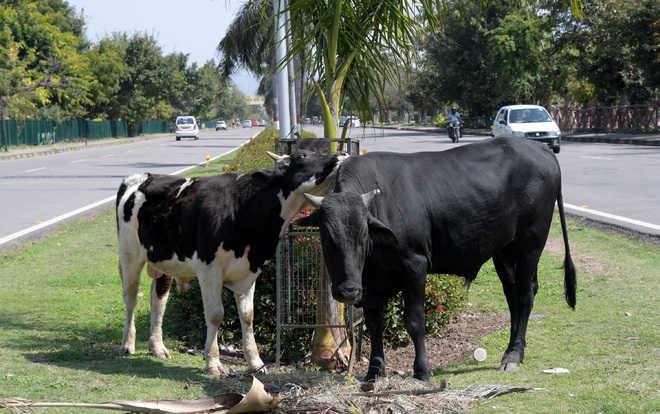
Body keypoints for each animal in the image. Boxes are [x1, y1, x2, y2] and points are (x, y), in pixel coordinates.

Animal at [115, 150, 348, 375]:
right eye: (302, 156)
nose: (342, 154)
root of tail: (140, 177)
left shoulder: (249, 271)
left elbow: (247, 316)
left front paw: (255, 363)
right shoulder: (209, 270)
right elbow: (215, 315)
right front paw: (213, 362)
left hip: (164, 260)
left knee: (159, 299)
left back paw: (157, 347)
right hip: (129, 256)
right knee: (130, 298)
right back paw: (127, 344)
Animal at [300, 137, 577, 382]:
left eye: (363, 234)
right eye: (326, 235)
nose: (347, 291)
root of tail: (540, 148)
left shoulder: (415, 265)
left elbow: (414, 320)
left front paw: (422, 370)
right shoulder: (370, 281)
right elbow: (374, 323)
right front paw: (374, 372)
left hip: (530, 245)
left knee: (525, 295)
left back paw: (514, 356)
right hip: (504, 252)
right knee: (513, 296)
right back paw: (514, 349)